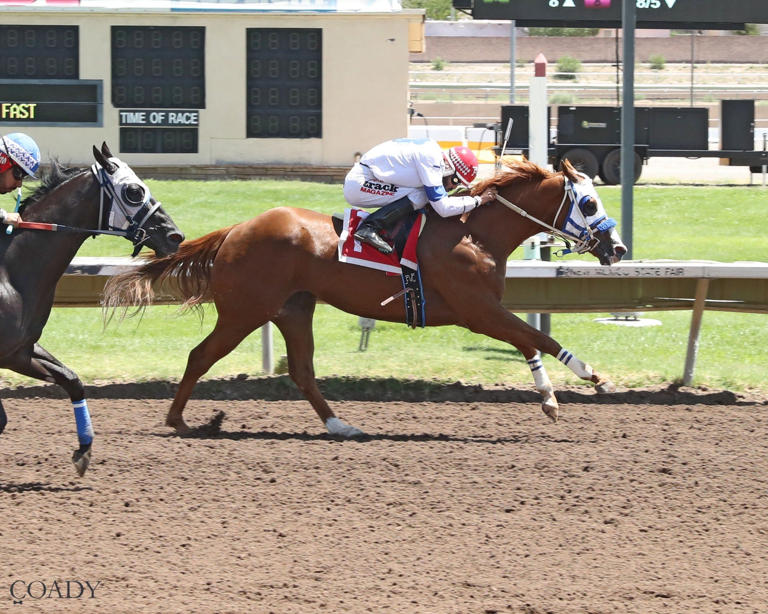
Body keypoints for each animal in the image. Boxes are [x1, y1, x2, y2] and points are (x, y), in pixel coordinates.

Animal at [0, 143, 184, 476]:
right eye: (134, 191)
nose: (175, 236)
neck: (10, 270)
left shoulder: (21, 350)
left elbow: (72, 379)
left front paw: (84, 450)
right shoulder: (9, 355)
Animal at [103, 158, 626, 438]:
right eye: (589, 202)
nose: (617, 248)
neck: (475, 232)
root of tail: (237, 228)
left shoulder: (483, 310)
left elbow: (527, 341)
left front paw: (553, 398)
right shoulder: (476, 310)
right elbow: (536, 338)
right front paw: (591, 378)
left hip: (293, 309)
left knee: (302, 371)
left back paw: (340, 426)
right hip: (245, 310)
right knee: (200, 356)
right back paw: (178, 421)